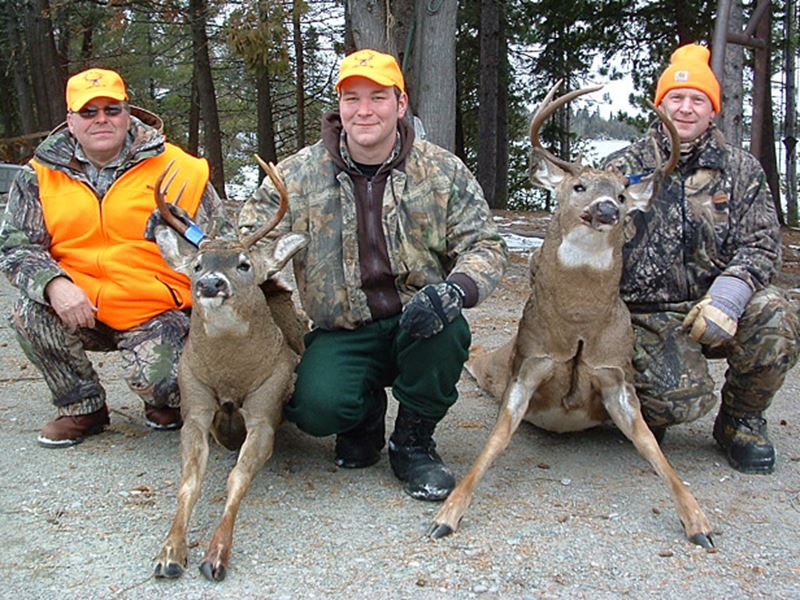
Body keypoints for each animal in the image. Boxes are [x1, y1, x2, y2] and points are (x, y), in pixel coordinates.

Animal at [152, 158, 309, 581]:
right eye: (196, 264)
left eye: (244, 264)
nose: (210, 283)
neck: (231, 375)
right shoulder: (194, 404)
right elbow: (189, 480)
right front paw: (169, 553)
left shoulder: (266, 408)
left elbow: (237, 477)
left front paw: (216, 555)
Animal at [429, 83, 713, 548]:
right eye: (579, 186)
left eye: (621, 195)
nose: (607, 209)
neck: (579, 326)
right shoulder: (528, 367)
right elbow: (495, 441)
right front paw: (447, 513)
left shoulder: (617, 378)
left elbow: (652, 448)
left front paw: (698, 521)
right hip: (494, 361)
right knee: (476, 358)